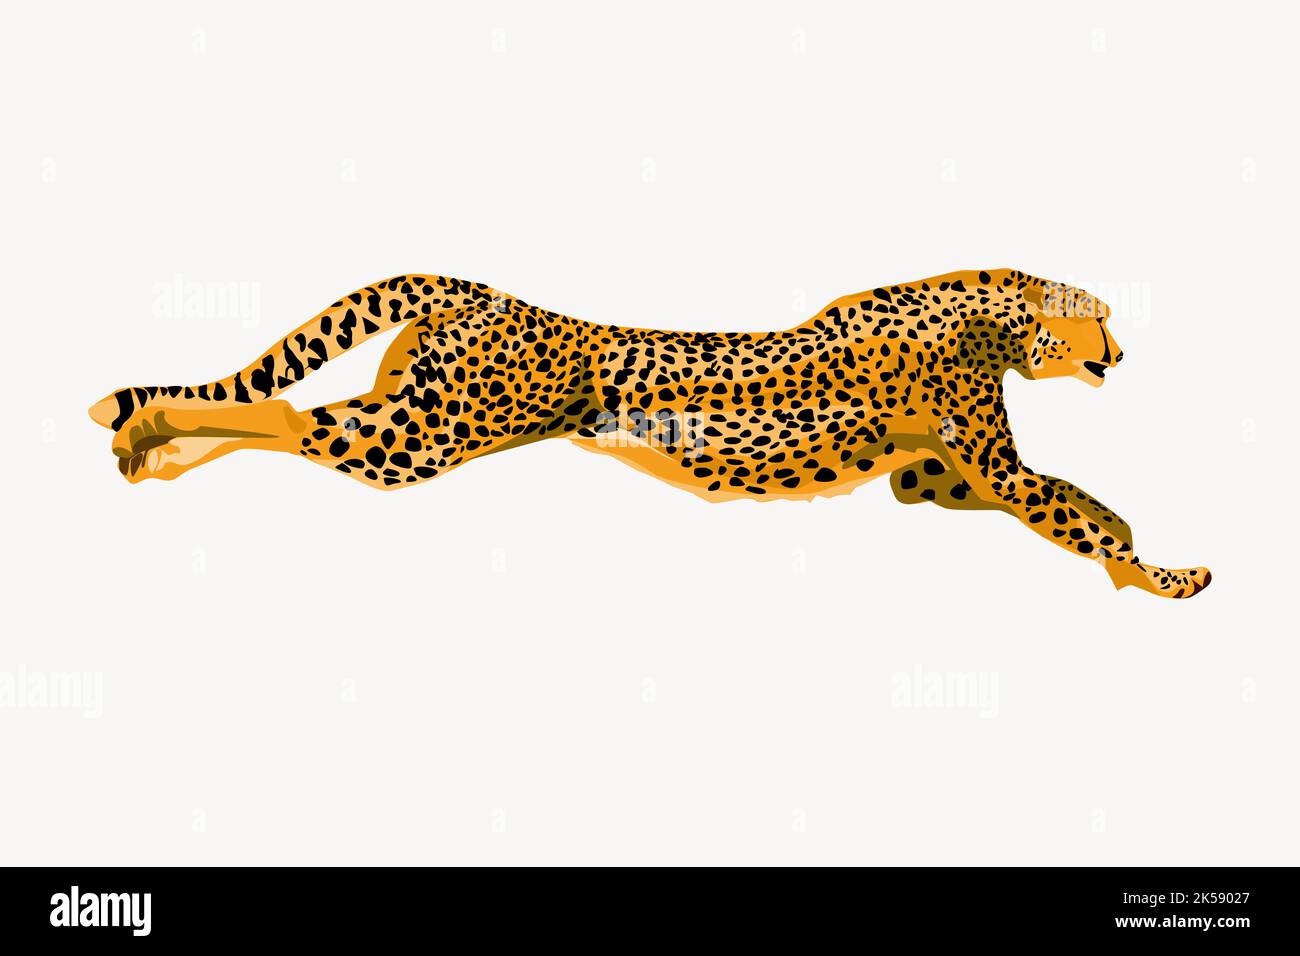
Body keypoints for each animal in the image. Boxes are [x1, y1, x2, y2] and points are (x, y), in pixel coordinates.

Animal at [89, 268, 1211, 599]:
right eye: (1101, 319)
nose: (1120, 352)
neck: (999, 308)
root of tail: (481, 289)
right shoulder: (986, 465)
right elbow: (1071, 511)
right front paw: (1163, 576)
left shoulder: (926, 477)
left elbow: (1079, 499)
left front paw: (1140, 547)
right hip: (428, 433)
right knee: (282, 411)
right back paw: (145, 426)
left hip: (411, 414)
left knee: (290, 416)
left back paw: (152, 442)